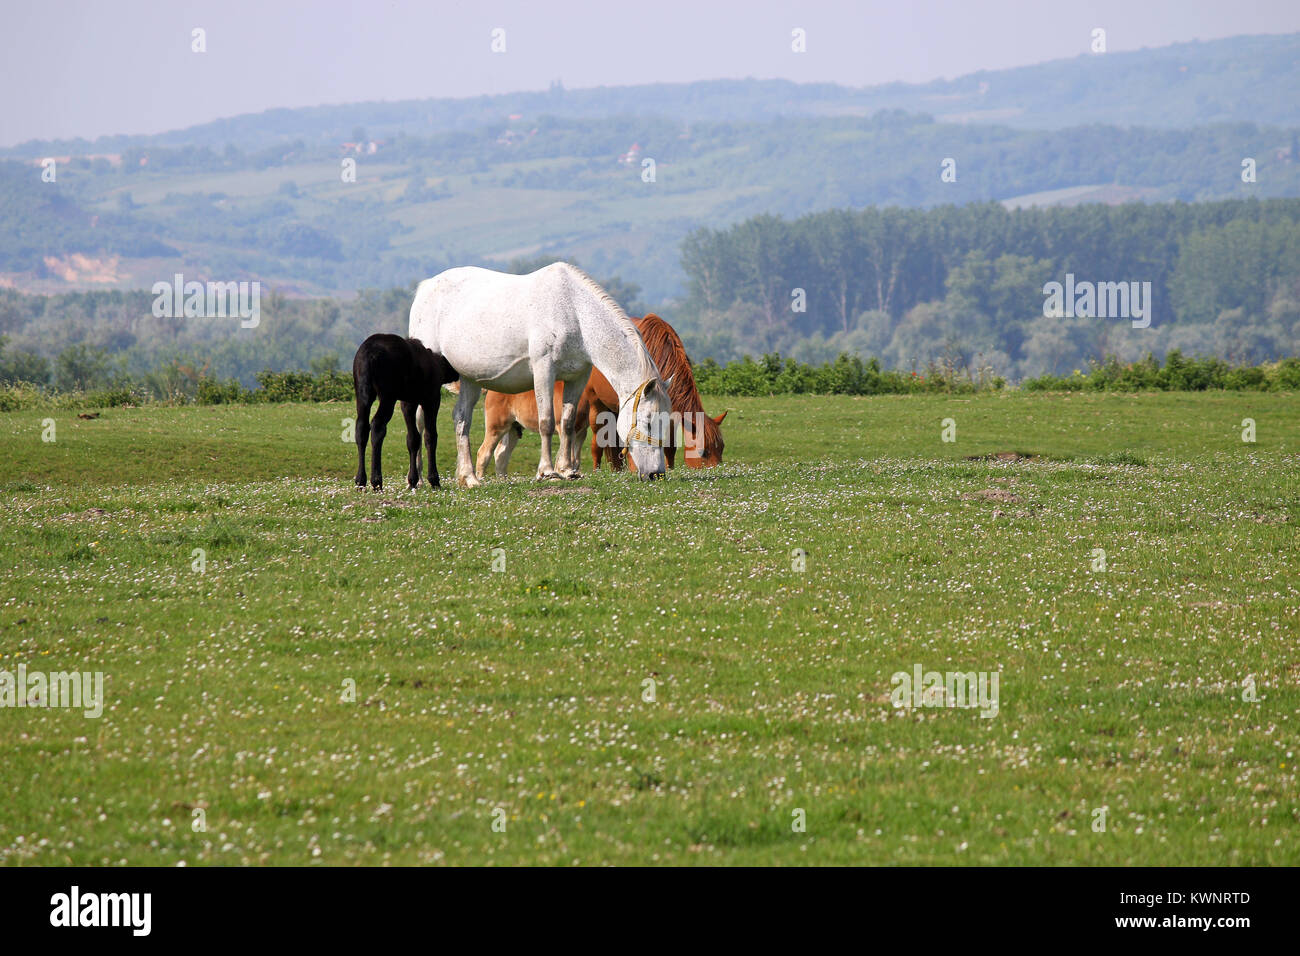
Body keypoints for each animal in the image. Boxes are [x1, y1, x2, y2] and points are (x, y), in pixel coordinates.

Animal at [352, 334, 460, 490]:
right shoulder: (431, 399)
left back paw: (360, 480)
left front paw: (413, 480)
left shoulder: (408, 402)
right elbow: (430, 436)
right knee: (377, 425)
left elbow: (413, 438)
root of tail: (368, 355)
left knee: (361, 427)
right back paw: (376, 480)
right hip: (387, 396)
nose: (456, 373)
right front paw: (434, 479)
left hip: (362, 393)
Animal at [408, 263, 673, 486]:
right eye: (648, 422)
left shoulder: (578, 377)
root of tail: (425, 288)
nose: (656, 474)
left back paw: (469, 478)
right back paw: (419, 480)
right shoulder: (544, 369)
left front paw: (568, 470)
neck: (573, 311)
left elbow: (566, 422)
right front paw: (547, 471)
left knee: (461, 419)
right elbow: (547, 421)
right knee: (421, 421)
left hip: (470, 379)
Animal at [480, 314, 726, 476]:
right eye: (703, 452)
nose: (715, 472)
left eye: (721, 448)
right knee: (599, 443)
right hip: (598, 405)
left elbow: (669, 444)